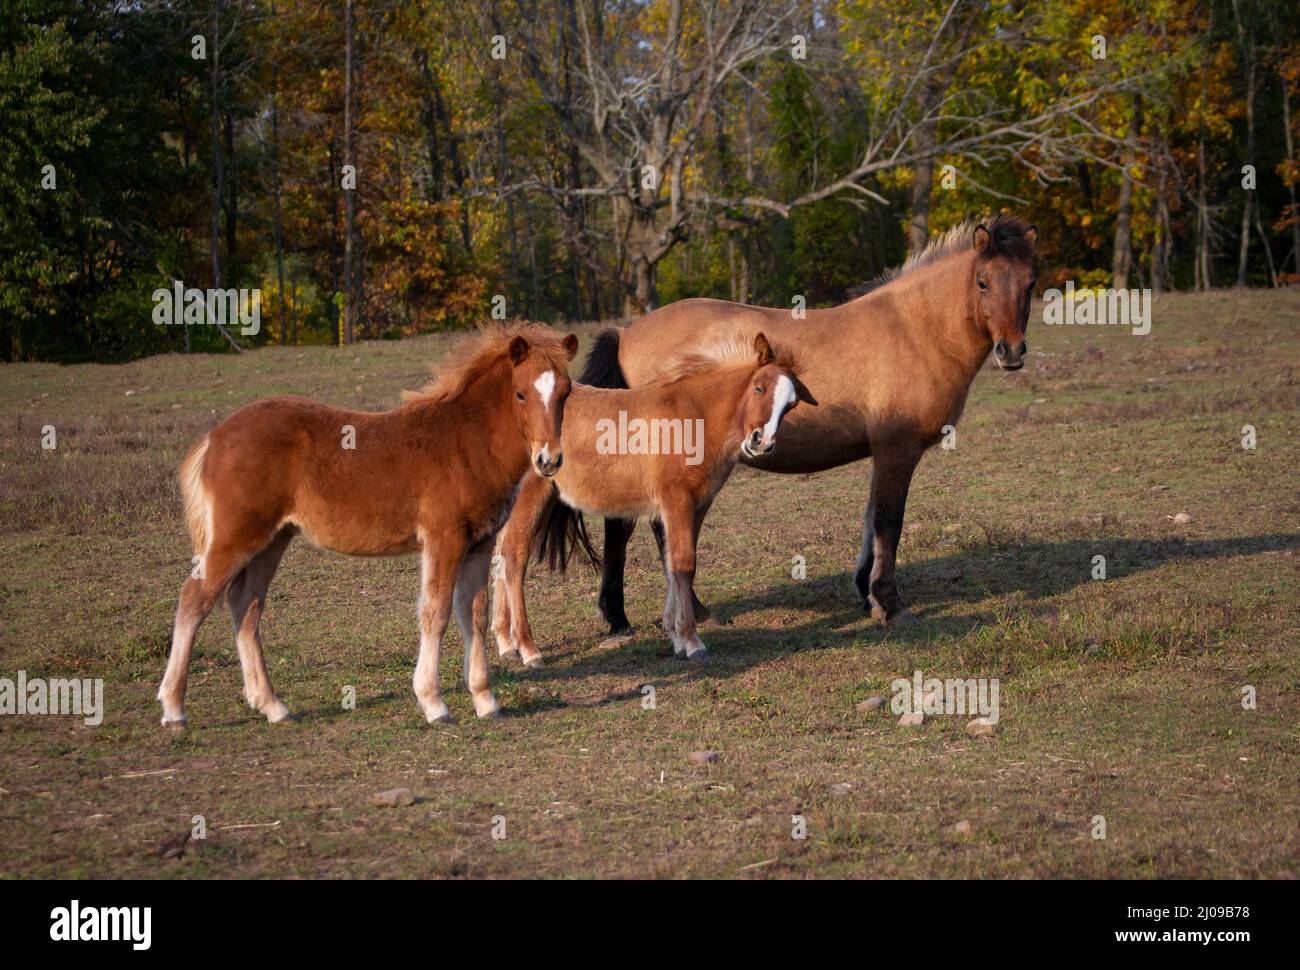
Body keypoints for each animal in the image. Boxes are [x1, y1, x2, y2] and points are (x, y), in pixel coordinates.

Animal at [156, 323, 578, 727]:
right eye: (520, 394)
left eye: (565, 393)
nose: (549, 460)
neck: (465, 441)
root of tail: (214, 437)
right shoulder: (443, 538)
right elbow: (436, 613)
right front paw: (434, 703)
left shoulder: (480, 543)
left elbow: (473, 614)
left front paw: (485, 700)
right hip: (235, 536)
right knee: (193, 600)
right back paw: (174, 708)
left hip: (272, 539)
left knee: (245, 605)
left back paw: (272, 706)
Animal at [491, 332, 816, 664]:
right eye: (758, 387)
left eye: (790, 405)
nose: (760, 442)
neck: (694, 415)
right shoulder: (677, 500)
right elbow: (683, 564)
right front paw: (692, 641)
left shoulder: (697, 505)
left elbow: (676, 564)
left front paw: (675, 636)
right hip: (530, 498)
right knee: (514, 558)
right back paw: (529, 649)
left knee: (501, 556)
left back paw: (506, 644)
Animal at [587, 215, 1038, 633]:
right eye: (982, 283)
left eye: (1030, 284)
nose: (1011, 352)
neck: (914, 330)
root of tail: (626, 333)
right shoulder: (897, 450)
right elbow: (888, 522)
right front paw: (890, 604)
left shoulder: (881, 454)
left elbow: (871, 520)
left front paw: (867, 594)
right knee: (661, 529)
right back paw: (688, 613)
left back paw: (620, 616)